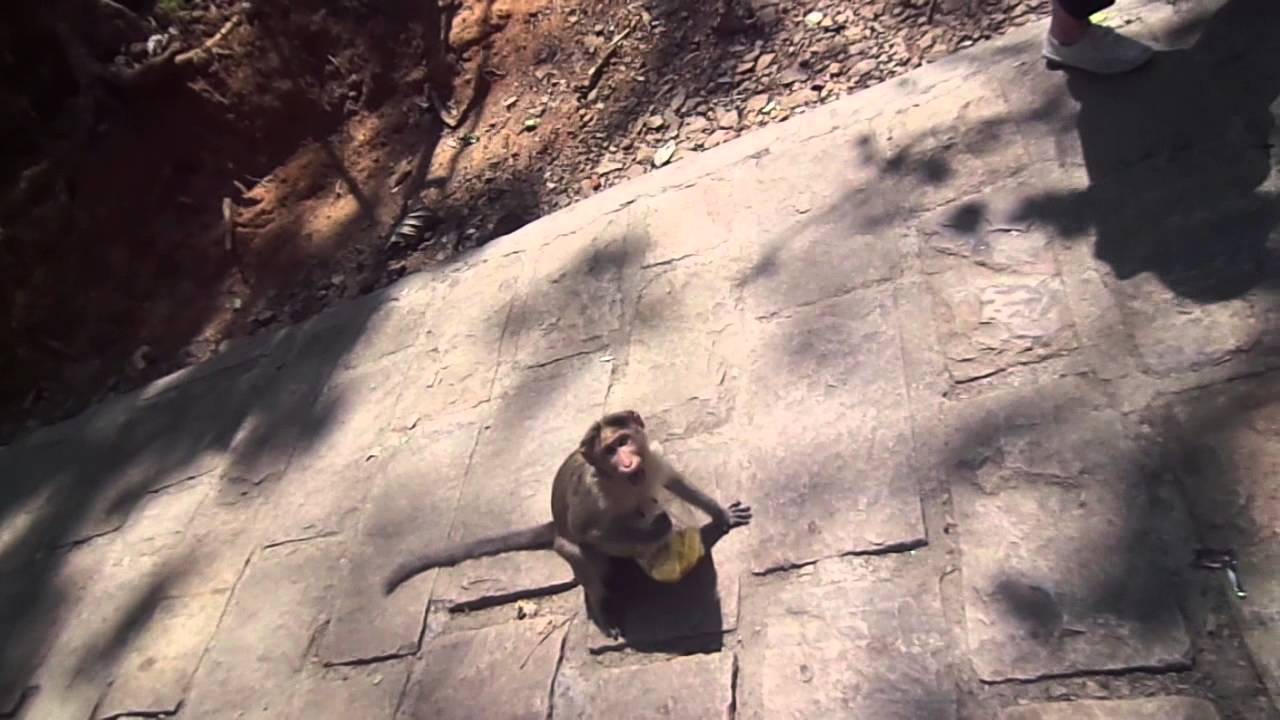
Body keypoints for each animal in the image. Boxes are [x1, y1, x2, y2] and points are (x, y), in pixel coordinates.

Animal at [382, 410, 752, 637]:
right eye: (609, 452)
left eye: (623, 441)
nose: (627, 461)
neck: (628, 481)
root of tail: (553, 524)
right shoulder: (593, 494)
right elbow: (590, 531)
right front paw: (657, 530)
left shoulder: (654, 456)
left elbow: (676, 482)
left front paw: (720, 514)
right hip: (568, 542)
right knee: (578, 550)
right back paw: (602, 607)